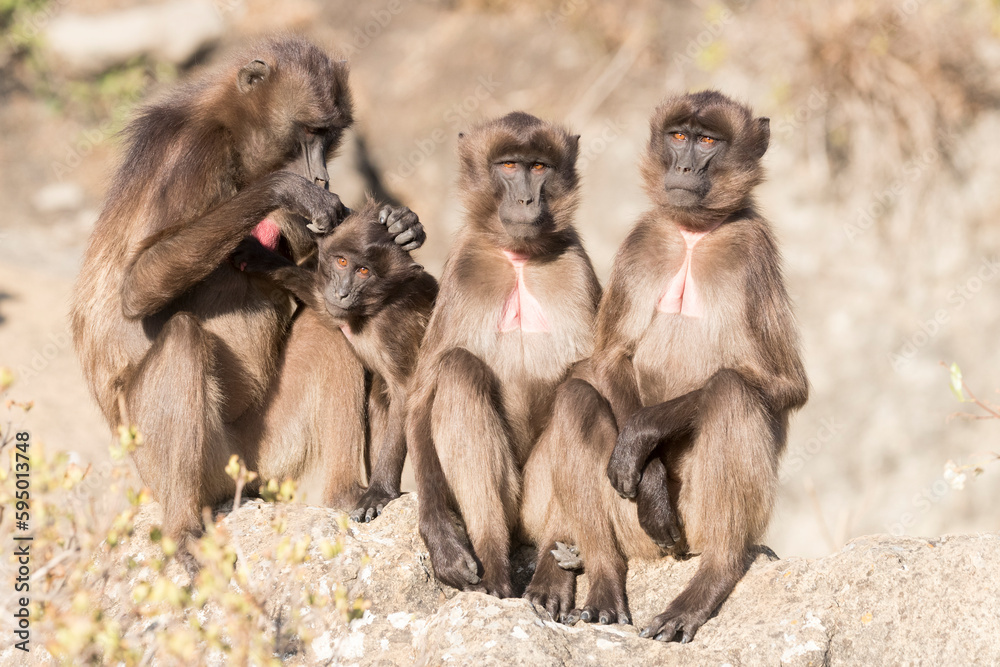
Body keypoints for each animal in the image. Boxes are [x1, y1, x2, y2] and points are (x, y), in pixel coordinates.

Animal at [232, 199, 438, 522]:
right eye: (341, 262)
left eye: (364, 271)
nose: (342, 293)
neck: (374, 308)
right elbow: (321, 299)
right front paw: (262, 259)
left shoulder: (393, 326)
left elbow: (406, 392)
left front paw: (380, 491)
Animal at [406, 112, 601, 598]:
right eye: (509, 166)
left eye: (539, 167)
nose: (527, 199)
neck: (520, 260)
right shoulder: (462, 269)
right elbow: (420, 399)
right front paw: (442, 538)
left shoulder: (577, 267)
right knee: (458, 369)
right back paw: (494, 564)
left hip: (532, 508)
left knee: (580, 380)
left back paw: (553, 566)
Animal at [520, 91, 808, 642]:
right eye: (678, 136)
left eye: (708, 140)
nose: (686, 167)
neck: (692, 234)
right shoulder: (642, 241)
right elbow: (611, 359)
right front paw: (650, 474)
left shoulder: (753, 250)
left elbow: (783, 385)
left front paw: (644, 433)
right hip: (635, 530)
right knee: (576, 399)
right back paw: (601, 579)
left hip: (694, 523)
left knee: (731, 390)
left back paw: (712, 577)